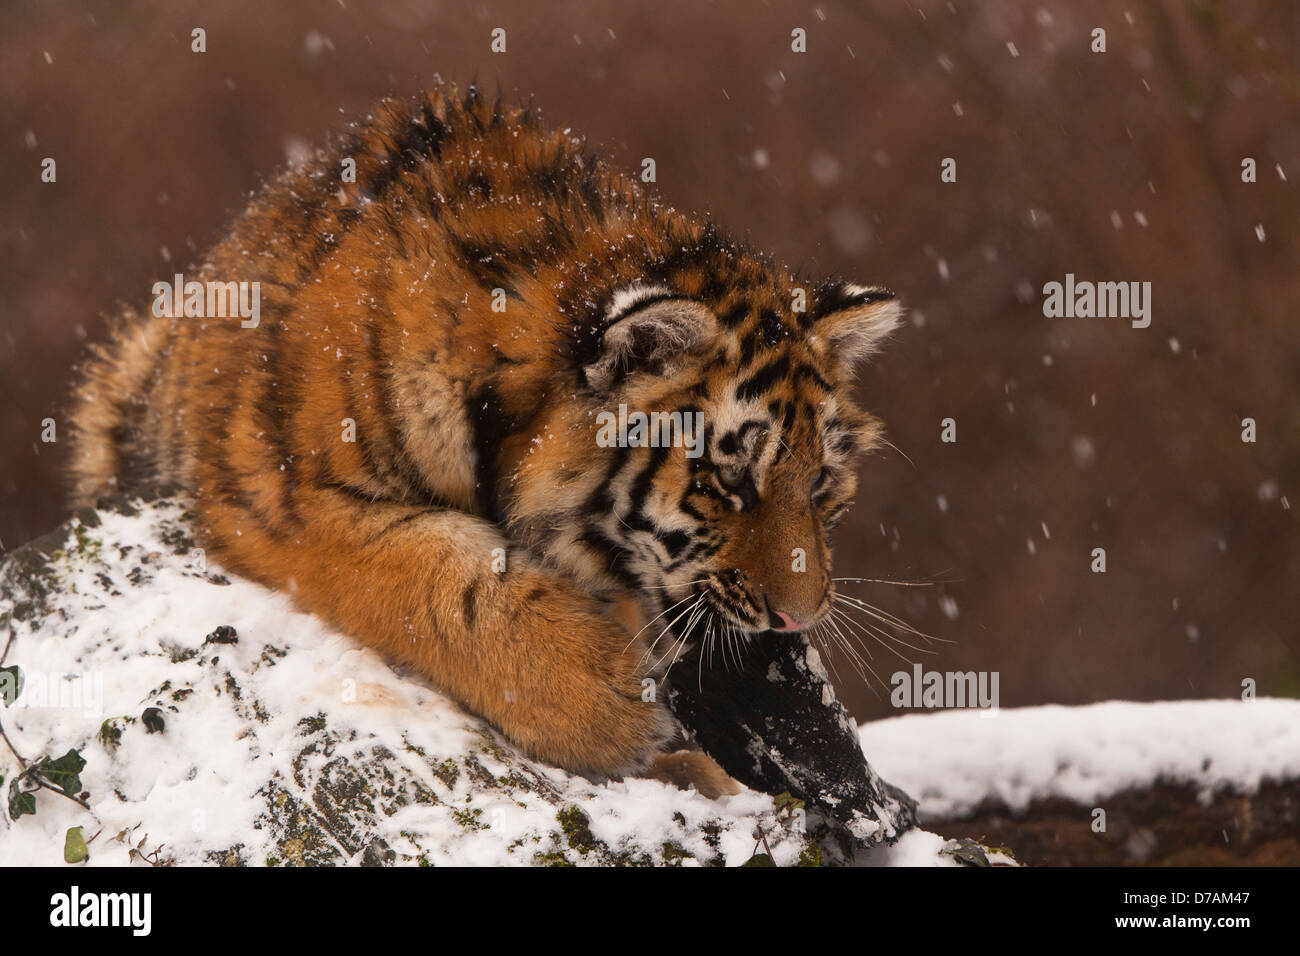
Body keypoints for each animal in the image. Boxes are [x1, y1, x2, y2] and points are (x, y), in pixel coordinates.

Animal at [66, 85, 900, 794]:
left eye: (821, 485)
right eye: (729, 482)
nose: (801, 618)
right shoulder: (288, 499)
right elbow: (444, 579)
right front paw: (608, 699)